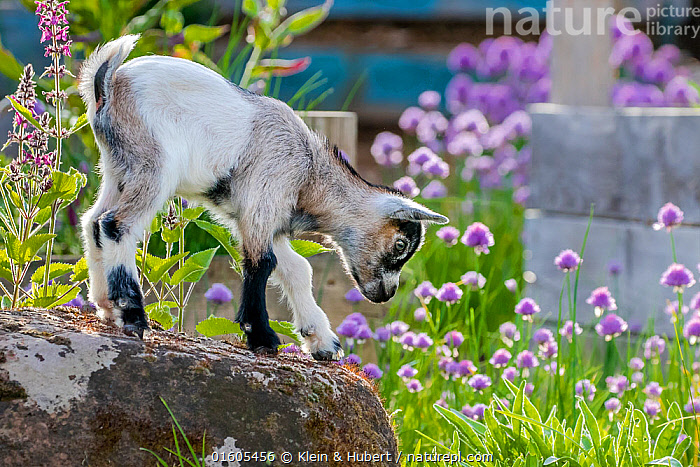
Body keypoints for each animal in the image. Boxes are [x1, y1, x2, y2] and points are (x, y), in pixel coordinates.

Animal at [78, 35, 448, 360]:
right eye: (400, 245)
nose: (386, 295)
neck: (309, 171)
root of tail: (109, 84)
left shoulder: (257, 216)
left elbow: (298, 269)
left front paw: (321, 342)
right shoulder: (264, 197)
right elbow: (262, 263)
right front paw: (262, 337)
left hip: (118, 167)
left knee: (92, 221)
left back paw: (106, 305)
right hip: (154, 166)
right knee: (116, 225)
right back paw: (132, 315)